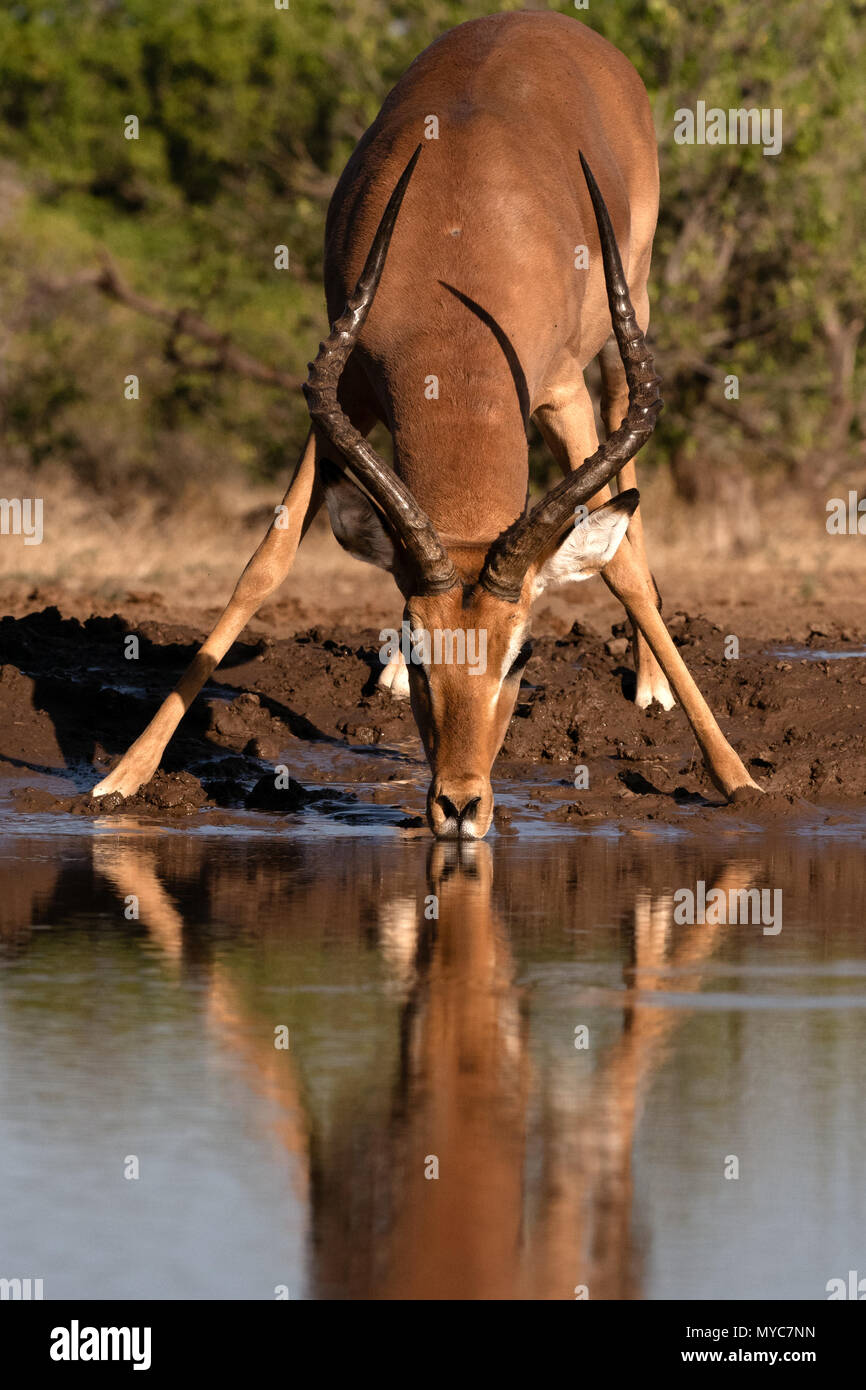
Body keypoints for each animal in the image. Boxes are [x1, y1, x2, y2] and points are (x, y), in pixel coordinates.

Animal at [93, 11, 759, 836]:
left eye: (522, 655)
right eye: (417, 646)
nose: (460, 805)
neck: (457, 267)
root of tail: (546, 17)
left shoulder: (559, 391)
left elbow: (623, 569)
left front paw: (735, 776)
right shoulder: (343, 392)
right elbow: (266, 561)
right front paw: (124, 776)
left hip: (624, 310)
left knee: (622, 487)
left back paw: (650, 686)